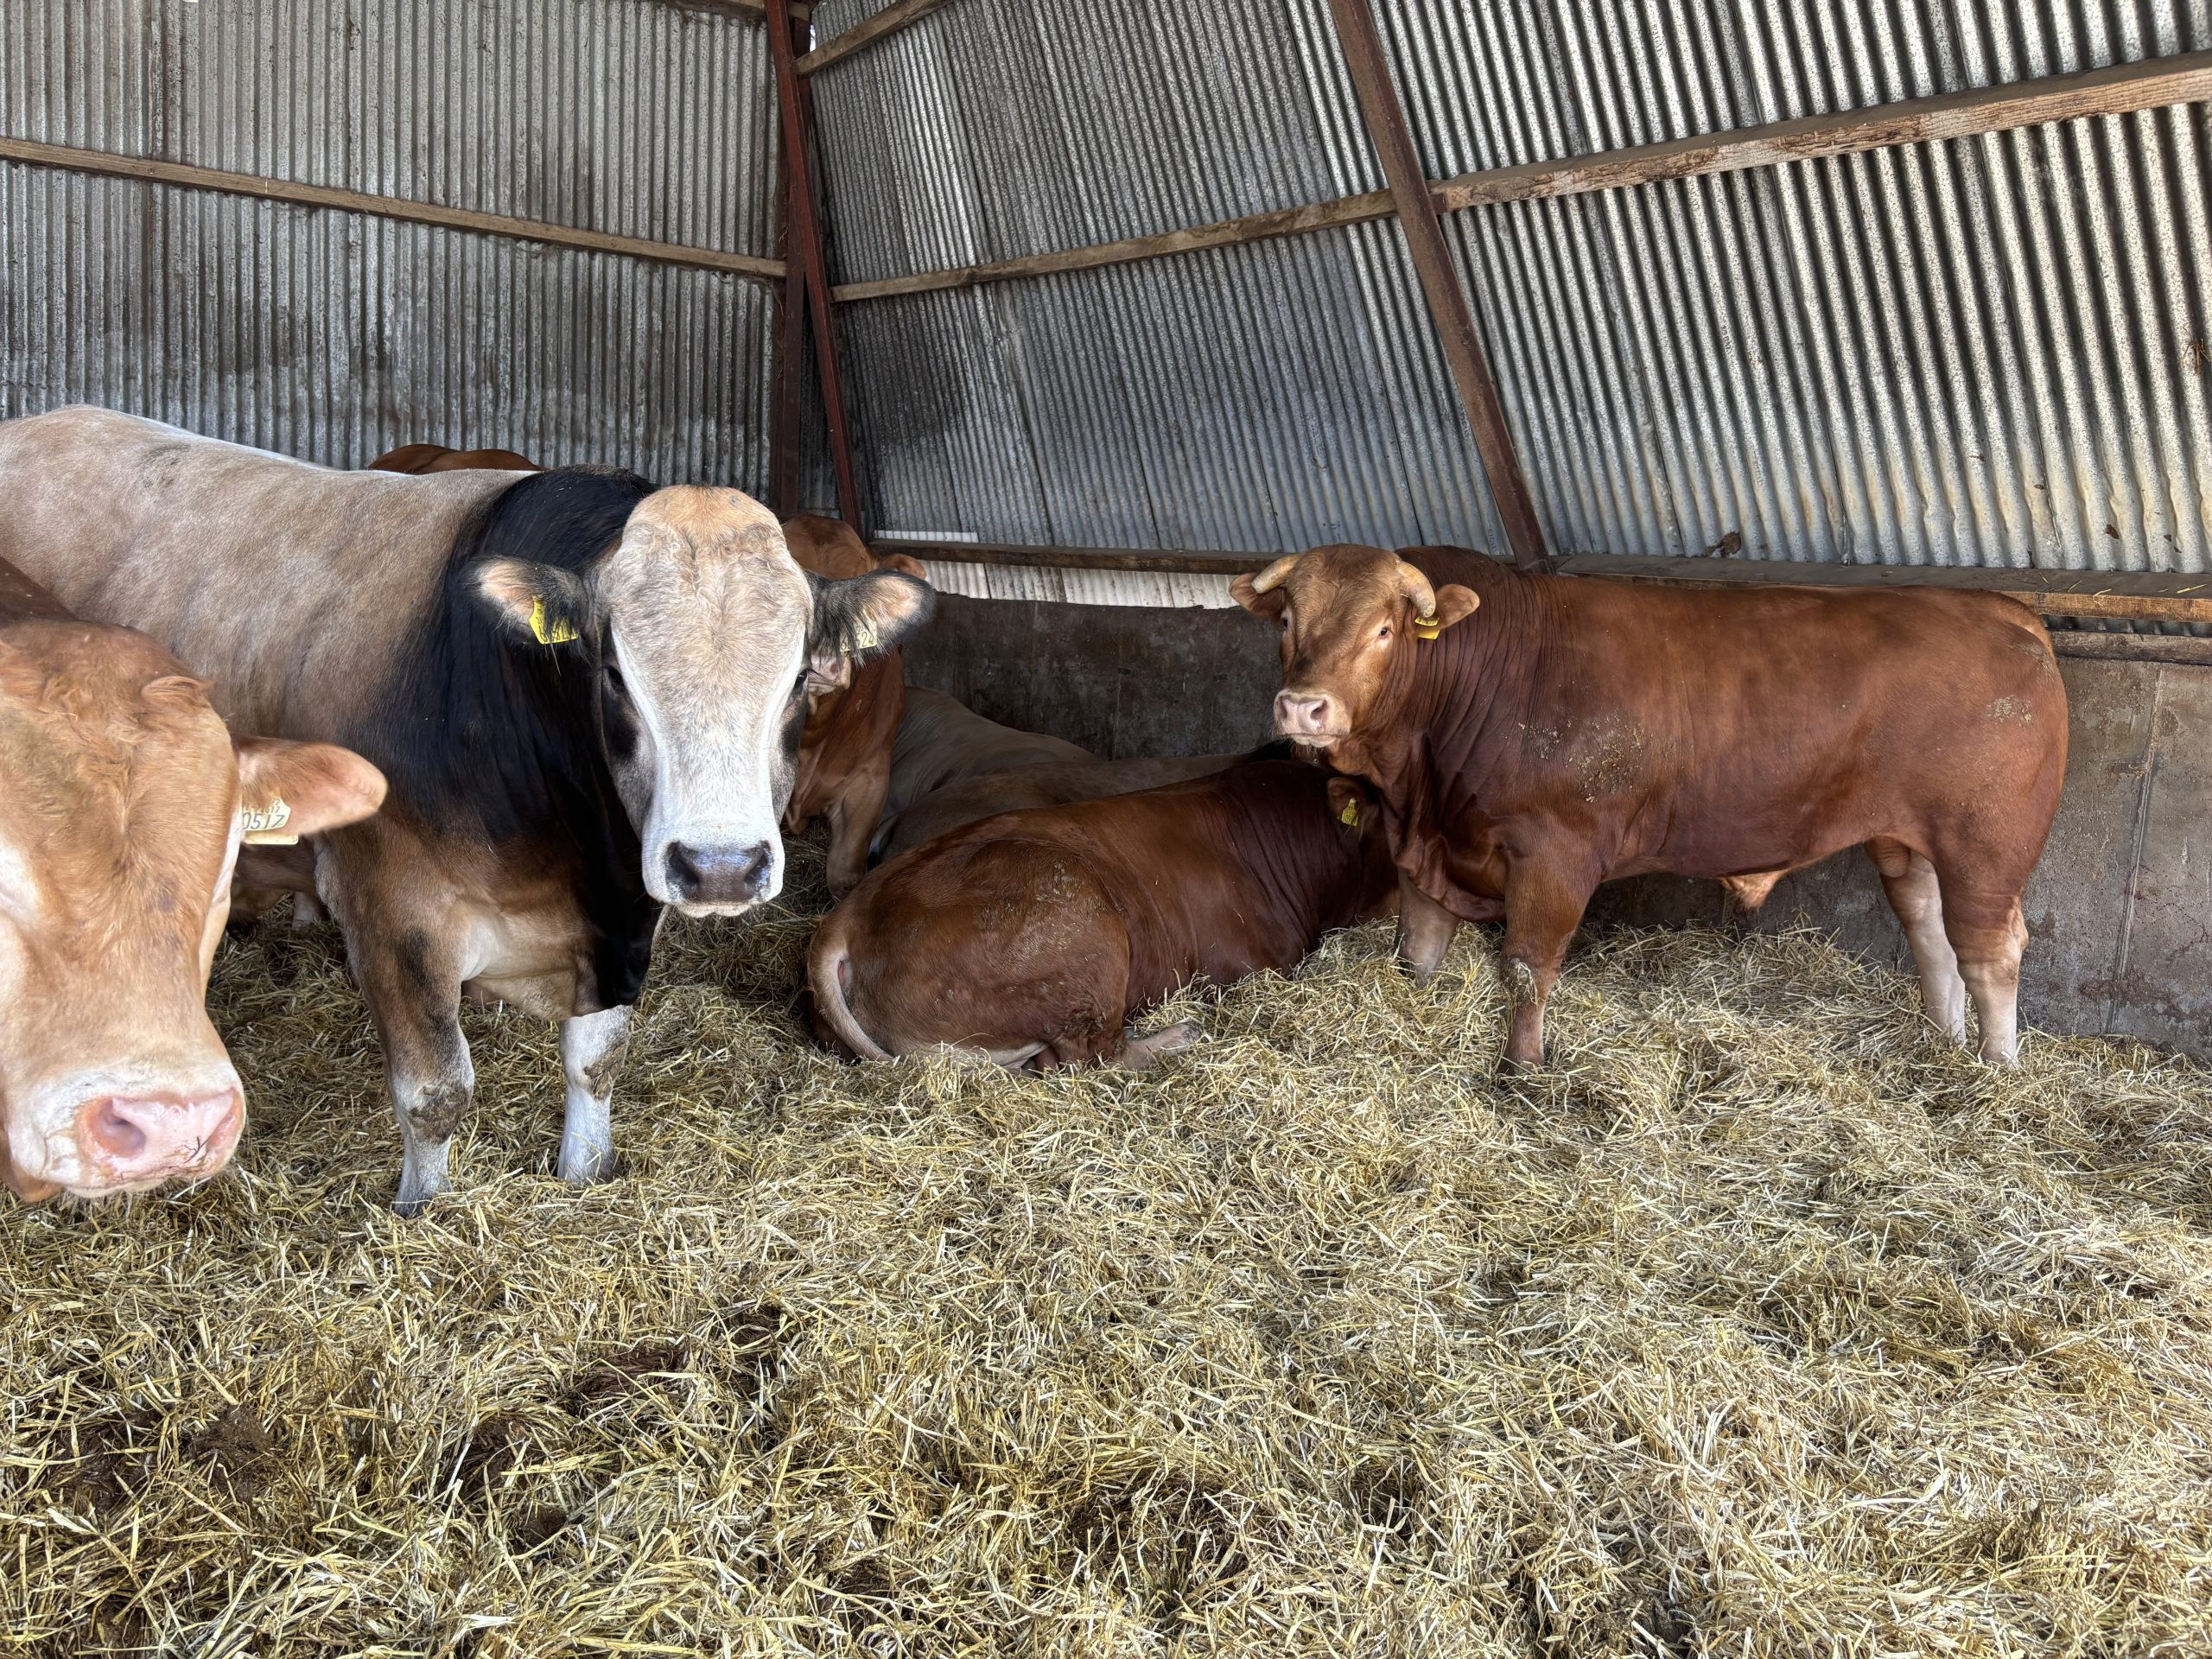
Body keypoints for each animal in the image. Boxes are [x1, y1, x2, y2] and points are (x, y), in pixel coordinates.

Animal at [1232, 544, 2067, 1070]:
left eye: (1382, 629)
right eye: (1287, 621)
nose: (1303, 708)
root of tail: (2000, 610)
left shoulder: (1556, 855)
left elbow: (1527, 969)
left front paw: (1521, 1068)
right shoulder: (1424, 847)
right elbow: (1419, 954)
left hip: (1985, 842)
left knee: (1989, 949)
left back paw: (1994, 1068)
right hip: (1905, 839)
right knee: (1929, 932)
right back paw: (1939, 1038)